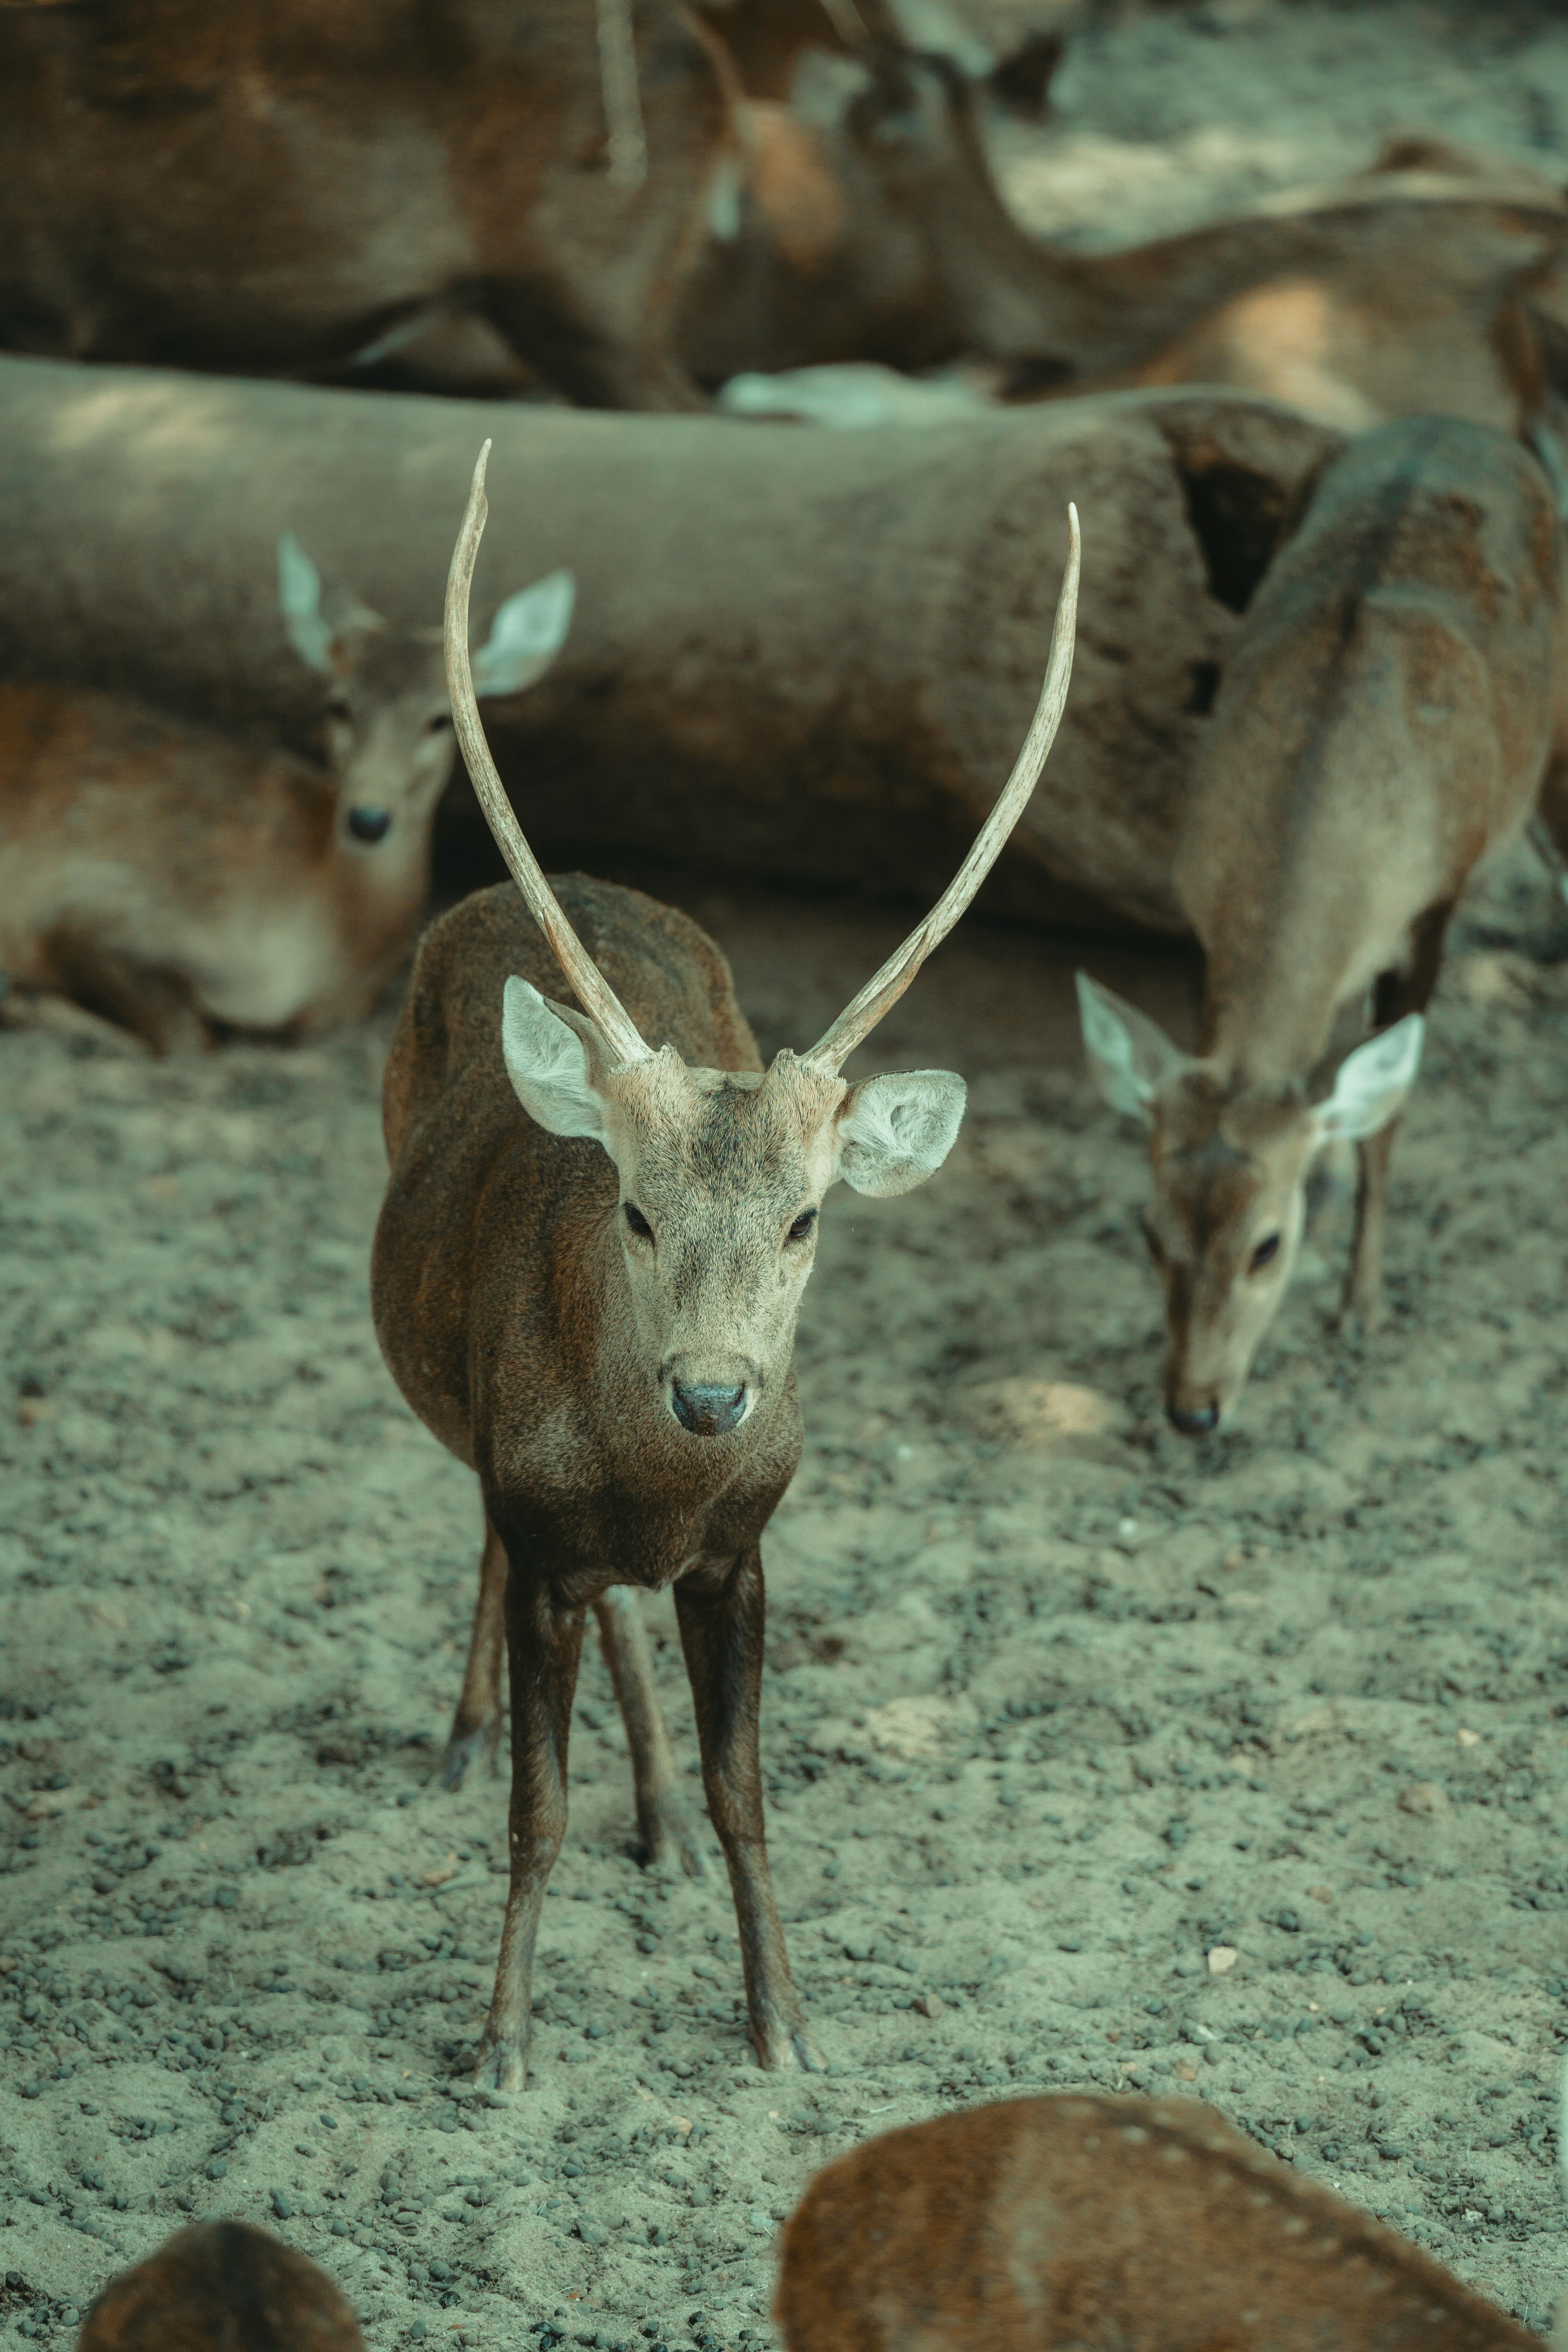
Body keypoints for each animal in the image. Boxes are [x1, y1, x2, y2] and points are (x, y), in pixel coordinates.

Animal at [368, 442, 1078, 2088]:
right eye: (634, 1209)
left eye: (806, 1220)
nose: (708, 1395)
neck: (653, 1484)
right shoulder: (539, 1514)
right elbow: (535, 1811)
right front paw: (500, 2044)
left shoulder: (746, 1549)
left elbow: (750, 1793)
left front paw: (784, 2025)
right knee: (486, 1538)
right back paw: (463, 1735)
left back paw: (658, 1830)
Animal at [1075, 414, 1568, 1437]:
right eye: (1147, 1228)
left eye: (1268, 1246)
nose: (1192, 1409)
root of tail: (1464, 424)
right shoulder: (1199, 920)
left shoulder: (1434, 905)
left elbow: (1388, 1113)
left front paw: (1361, 1308)